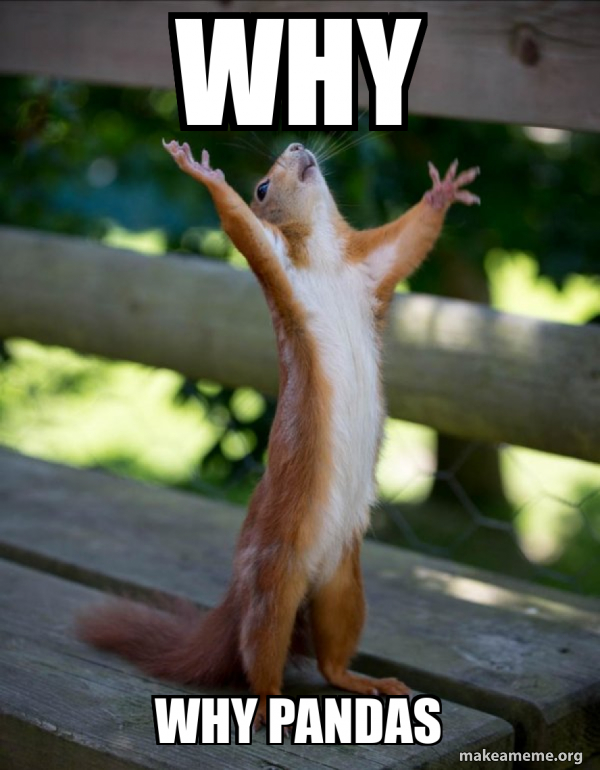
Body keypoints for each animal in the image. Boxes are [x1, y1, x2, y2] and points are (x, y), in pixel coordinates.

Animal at [78, 138, 479, 730]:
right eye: (262, 187)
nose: (295, 145)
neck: (326, 257)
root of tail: (240, 593)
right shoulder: (277, 265)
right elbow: (240, 226)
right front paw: (204, 173)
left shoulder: (371, 267)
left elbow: (409, 240)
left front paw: (443, 192)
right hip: (273, 584)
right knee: (259, 655)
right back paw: (268, 704)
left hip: (344, 586)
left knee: (332, 658)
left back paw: (365, 680)